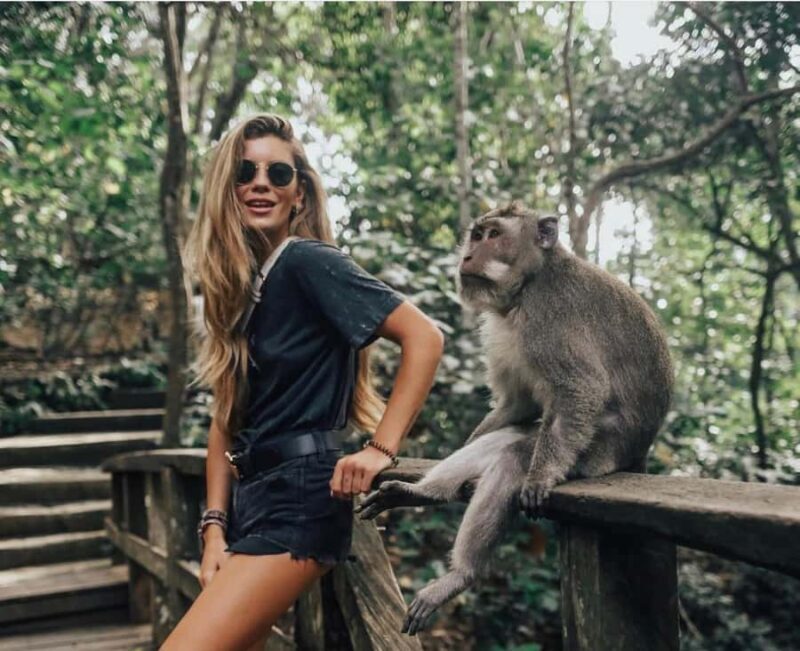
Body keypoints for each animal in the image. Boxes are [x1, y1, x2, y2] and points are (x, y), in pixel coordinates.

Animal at [356, 201, 674, 635]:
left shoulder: (550, 316)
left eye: (493, 236)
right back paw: (425, 493)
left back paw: (463, 574)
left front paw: (538, 478)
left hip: (598, 454)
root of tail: (637, 454)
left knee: (516, 458)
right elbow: (517, 405)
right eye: (476, 236)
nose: (467, 257)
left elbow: (581, 389)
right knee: (506, 439)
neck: (528, 285)